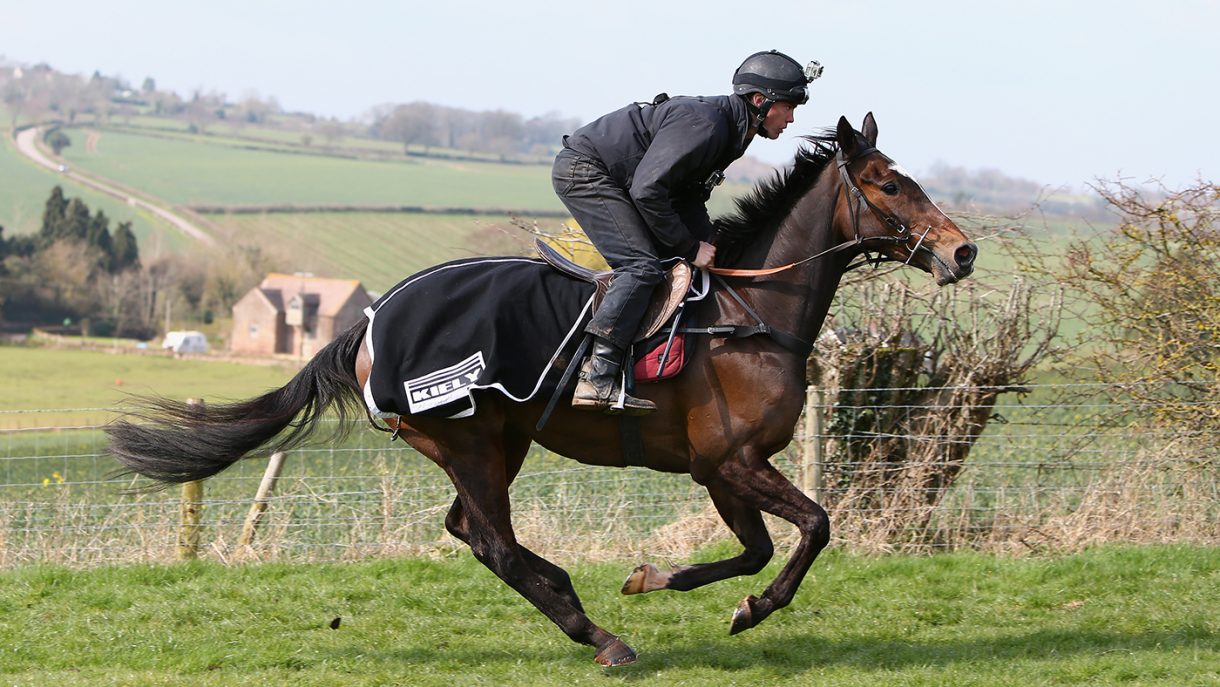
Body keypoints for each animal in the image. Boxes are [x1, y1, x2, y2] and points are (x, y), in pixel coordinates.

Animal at [107, 113, 977, 667]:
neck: (749, 313)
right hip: (466, 437)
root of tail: (371, 322)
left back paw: (573, 598)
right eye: (886, 183)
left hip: (499, 440)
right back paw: (596, 633)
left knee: (469, 528)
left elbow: (759, 545)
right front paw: (749, 608)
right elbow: (815, 527)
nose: (962, 252)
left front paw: (656, 578)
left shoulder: (718, 466)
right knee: (490, 539)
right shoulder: (732, 459)